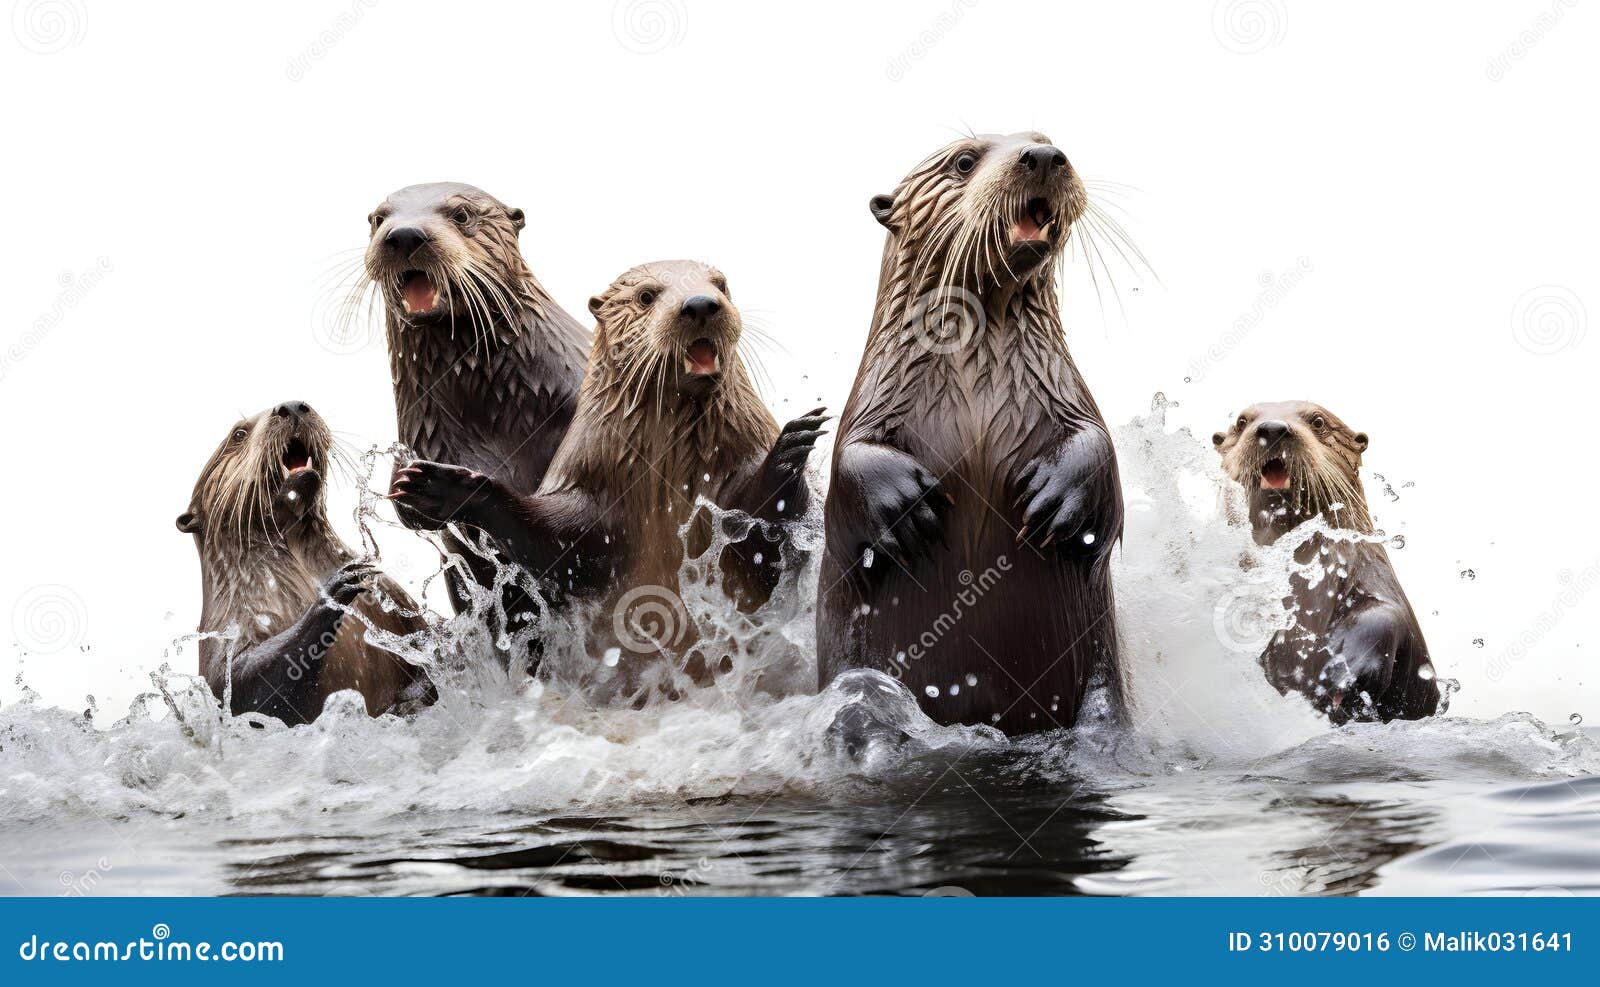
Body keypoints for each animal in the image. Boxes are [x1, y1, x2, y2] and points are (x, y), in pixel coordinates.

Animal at [177, 401, 432, 724]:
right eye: (238, 434)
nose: (290, 405)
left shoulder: (395, 593)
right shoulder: (226, 632)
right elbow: (238, 684)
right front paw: (336, 588)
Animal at [363, 182, 589, 660]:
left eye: (461, 215)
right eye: (378, 218)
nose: (404, 235)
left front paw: (447, 488)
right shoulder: (424, 430)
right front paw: (410, 487)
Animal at [388, 261, 825, 699]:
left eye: (721, 285)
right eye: (646, 296)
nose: (701, 303)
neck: (665, 481)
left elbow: (770, 545)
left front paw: (790, 449)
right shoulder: (588, 488)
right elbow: (550, 544)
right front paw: (444, 489)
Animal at [817, 132, 1124, 734]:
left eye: (1046, 141)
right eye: (964, 161)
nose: (1043, 156)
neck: (977, 392)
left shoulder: (1067, 390)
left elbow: (1102, 447)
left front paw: (1054, 497)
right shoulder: (872, 398)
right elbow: (848, 462)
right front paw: (905, 504)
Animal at [1213, 400, 1440, 724]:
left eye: (1318, 421)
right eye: (1242, 422)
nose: (1272, 429)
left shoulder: (1375, 580)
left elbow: (1385, 615)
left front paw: (1343, 670)